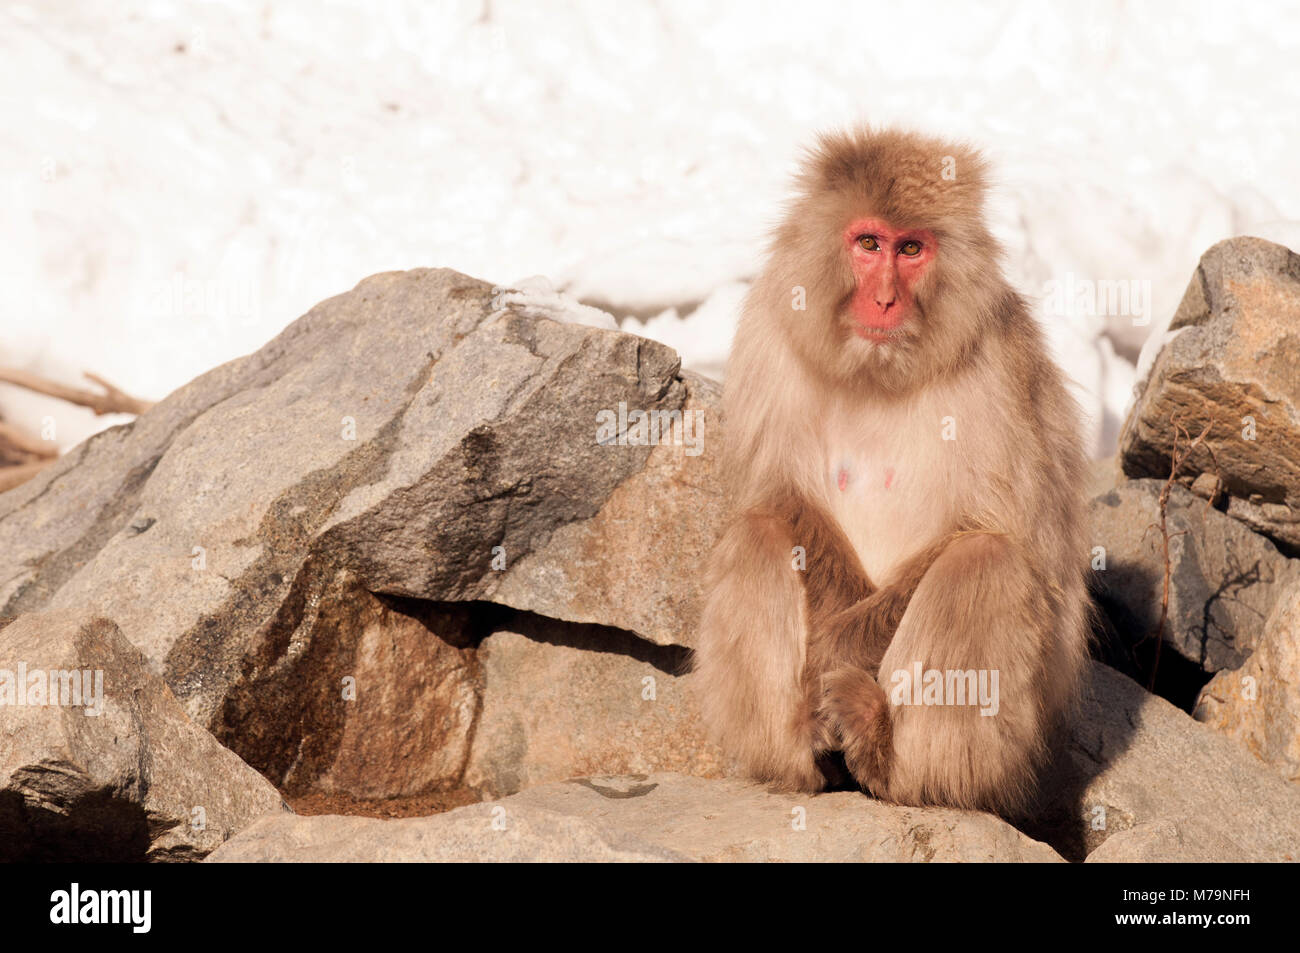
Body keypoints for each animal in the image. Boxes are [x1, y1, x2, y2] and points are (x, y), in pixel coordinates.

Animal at [693, 127, 1090, 814]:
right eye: (869, 243)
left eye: (911, 249)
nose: (883, 299)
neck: (878, 374)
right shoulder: (772, 333)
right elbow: (776, 493)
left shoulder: (997, 365)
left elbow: (1006, 532)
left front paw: (839, 648)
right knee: (757, 533)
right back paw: (801, 754)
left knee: (984, 562)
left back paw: (885, 756)